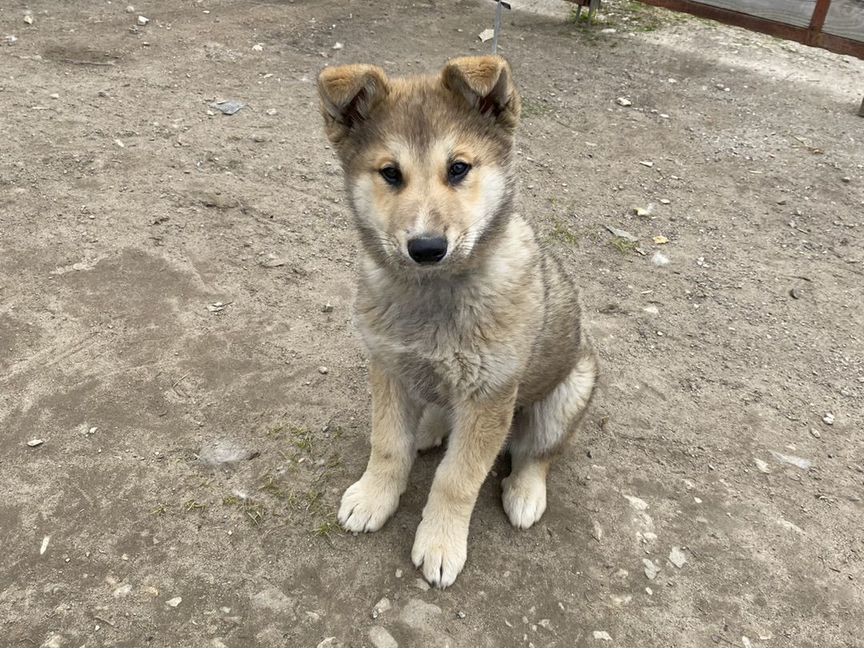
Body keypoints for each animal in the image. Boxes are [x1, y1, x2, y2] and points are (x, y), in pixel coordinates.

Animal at [320, 58, 596, 588]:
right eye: (390, 173)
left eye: (459, 169)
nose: (426, 247)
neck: (436, 293)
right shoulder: (388, 368)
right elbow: (388, 444)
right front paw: (374, 496)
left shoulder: (490, 395)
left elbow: (458, 478)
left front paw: (440, 542)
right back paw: (429, 428)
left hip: (571, 390)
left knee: (538, 453)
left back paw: (525, 492)